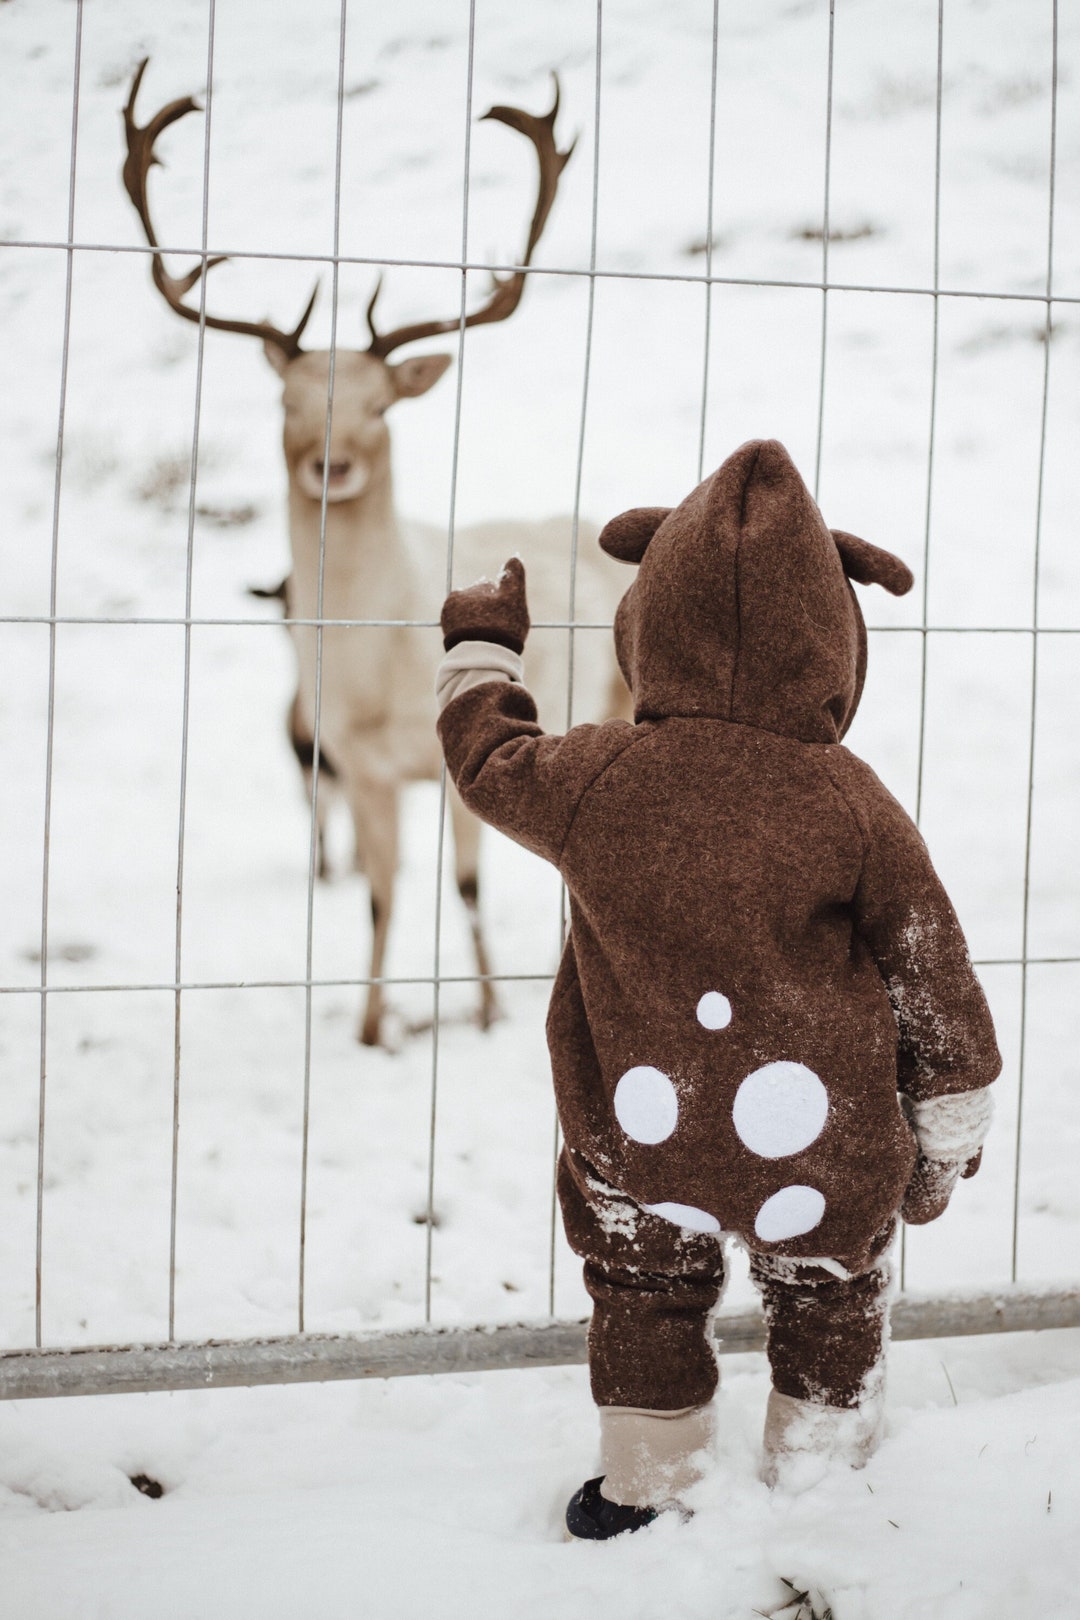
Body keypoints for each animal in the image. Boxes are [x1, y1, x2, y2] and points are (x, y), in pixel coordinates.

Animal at [122, 60, 629, 1046]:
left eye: (382, 403)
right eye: (285, 401)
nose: (332, 464)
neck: (375, 662)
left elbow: (463, 885)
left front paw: (484, 1009)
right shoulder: (355, 769)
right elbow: (381, 895)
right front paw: (368, 1025)